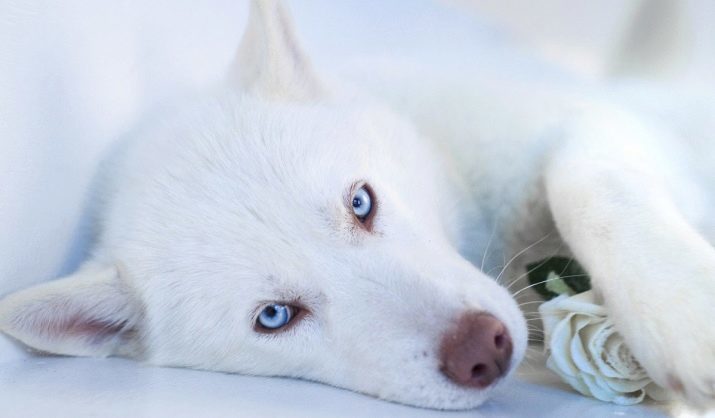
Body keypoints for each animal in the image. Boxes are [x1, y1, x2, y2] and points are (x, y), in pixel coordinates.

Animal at [1, 0, 715, 412]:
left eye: (362, 202)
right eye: (274, 316)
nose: (482, 349)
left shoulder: (605, 125)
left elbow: (587, 183)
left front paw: (682, 315)